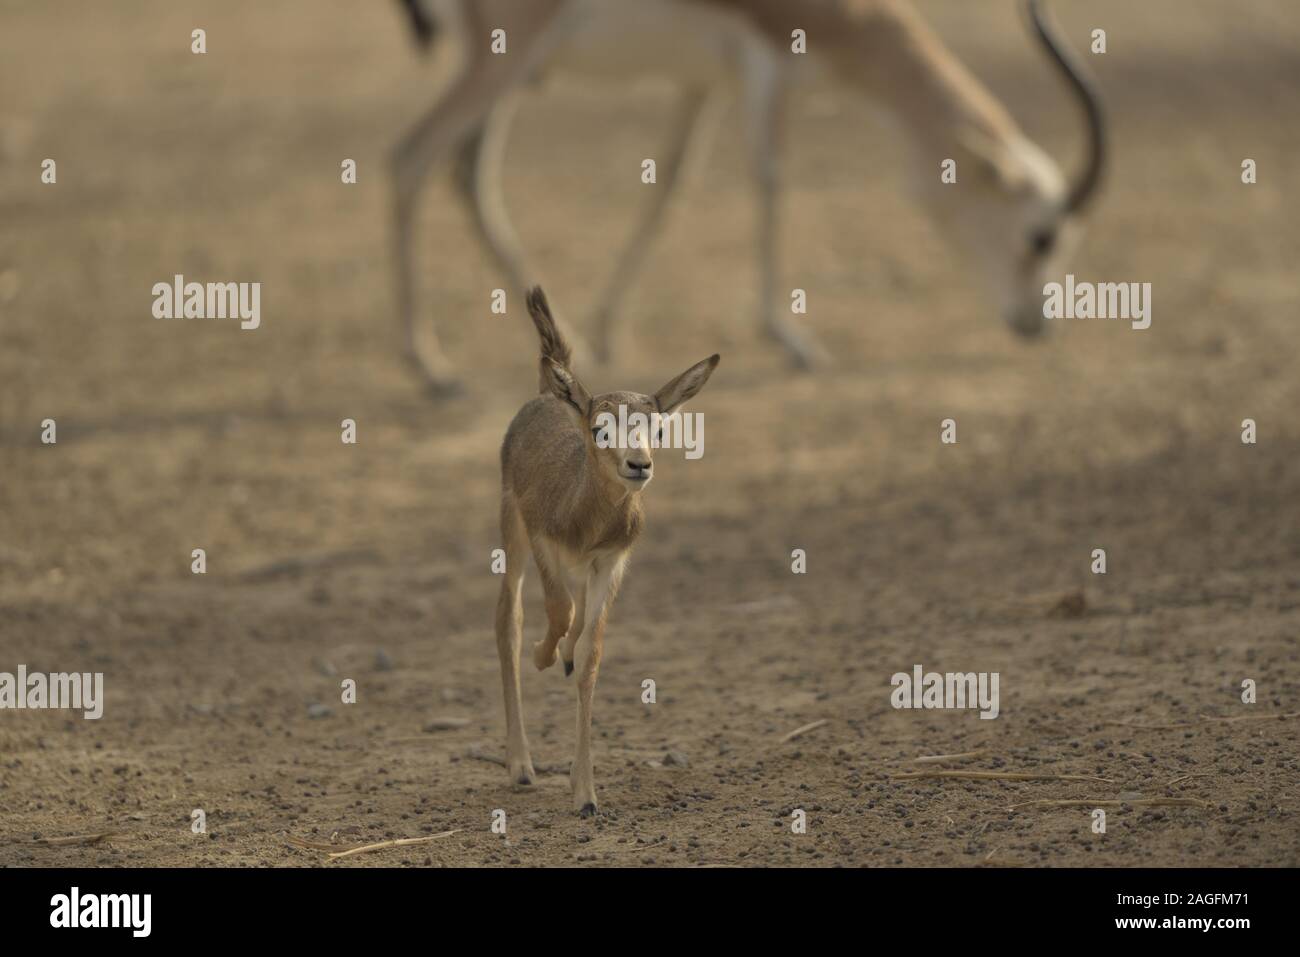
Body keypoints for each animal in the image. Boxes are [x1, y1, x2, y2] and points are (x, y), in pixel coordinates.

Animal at [390, 0, 1104, 394]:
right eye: (1041, 235)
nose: (1037, 324)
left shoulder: (704, 80)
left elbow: (671, 181)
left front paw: (608, 328)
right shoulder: (767, 66)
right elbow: (770, 178)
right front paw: (792, 339)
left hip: (514, 68)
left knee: (467, 171)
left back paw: (569, 347)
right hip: (502, 58)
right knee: (411, 158)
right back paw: (431, 368)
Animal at [495, 286, 719, 815]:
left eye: (658, 429)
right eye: (601, 429)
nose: (639, 465)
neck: (585, 516)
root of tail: (549, 393)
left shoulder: (610, 563)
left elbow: (591, 654)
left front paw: (586, 794)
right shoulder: (543, 541)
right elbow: (557, 611)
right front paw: (542, 656)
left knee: (570, 624)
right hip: (512, 536)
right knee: (508, 620)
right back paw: (521, 764)